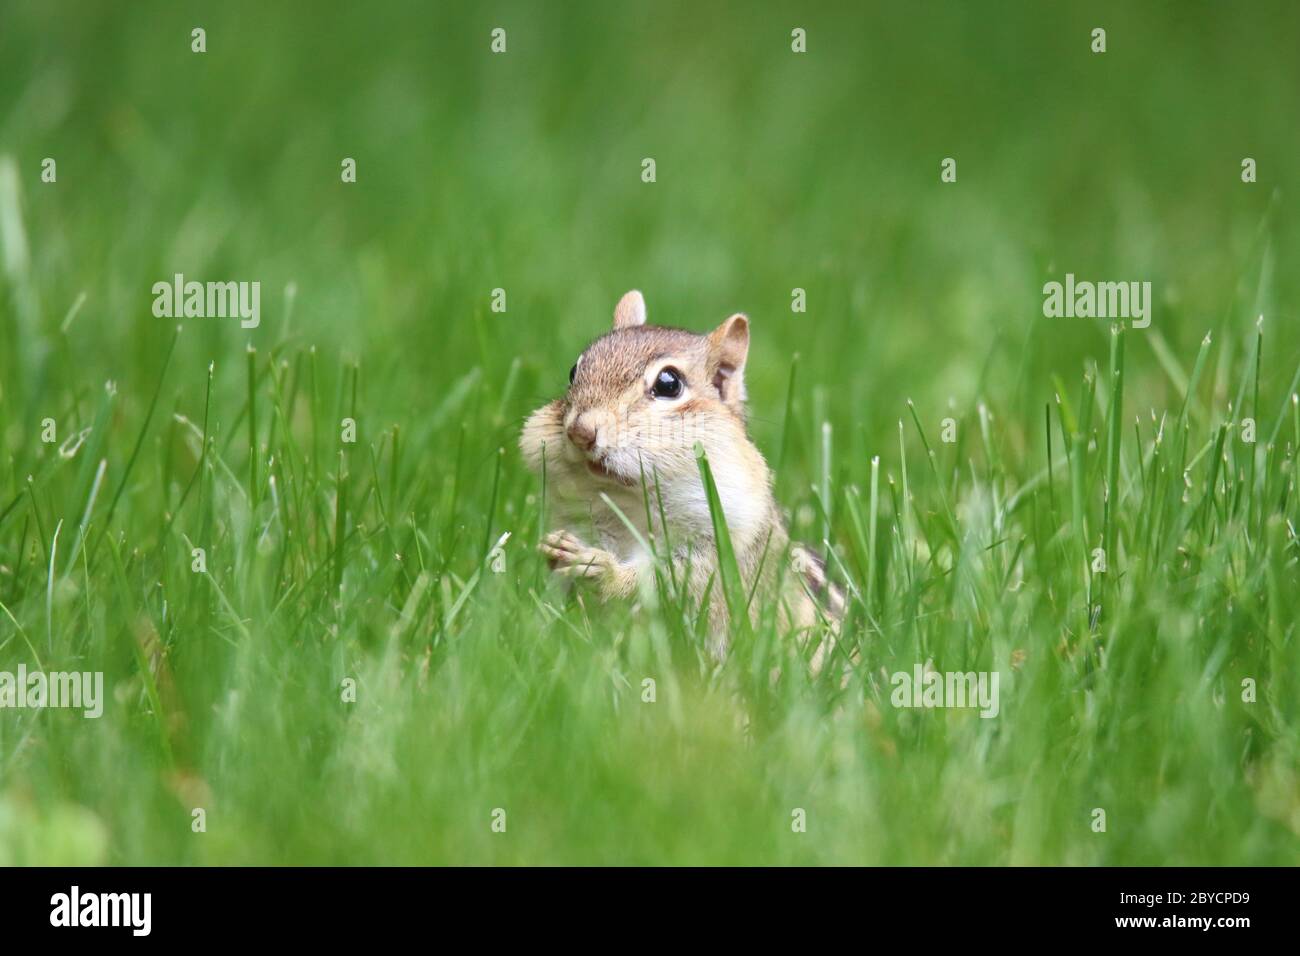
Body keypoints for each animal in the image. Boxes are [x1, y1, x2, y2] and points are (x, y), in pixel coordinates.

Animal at [520, 290, 842, 666]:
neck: (628, 498)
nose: (580, 432)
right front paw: (556, 549)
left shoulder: (715, 553)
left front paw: (602, 570)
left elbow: (663, 585)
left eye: (668, 384)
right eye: (574, 371)